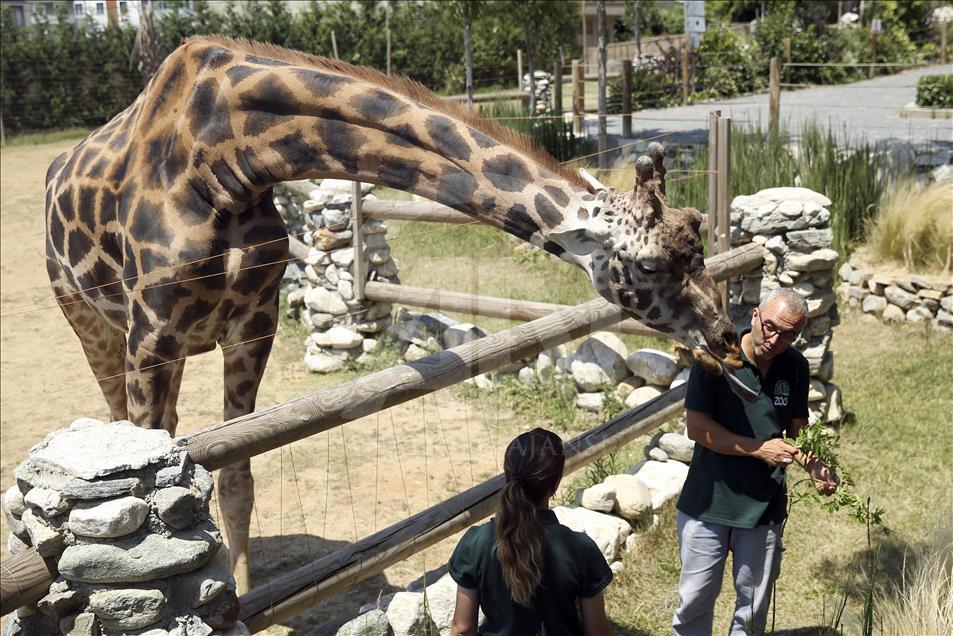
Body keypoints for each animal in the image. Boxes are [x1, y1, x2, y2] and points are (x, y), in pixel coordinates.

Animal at [44, 36, 743, 593]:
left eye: (698, 234)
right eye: (649, 264)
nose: (726, 335)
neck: (228, 158)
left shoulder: (252, 326)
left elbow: (235, 472)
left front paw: (241, 593)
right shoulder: (150, 335)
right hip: (93, 323)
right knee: (122, 412)